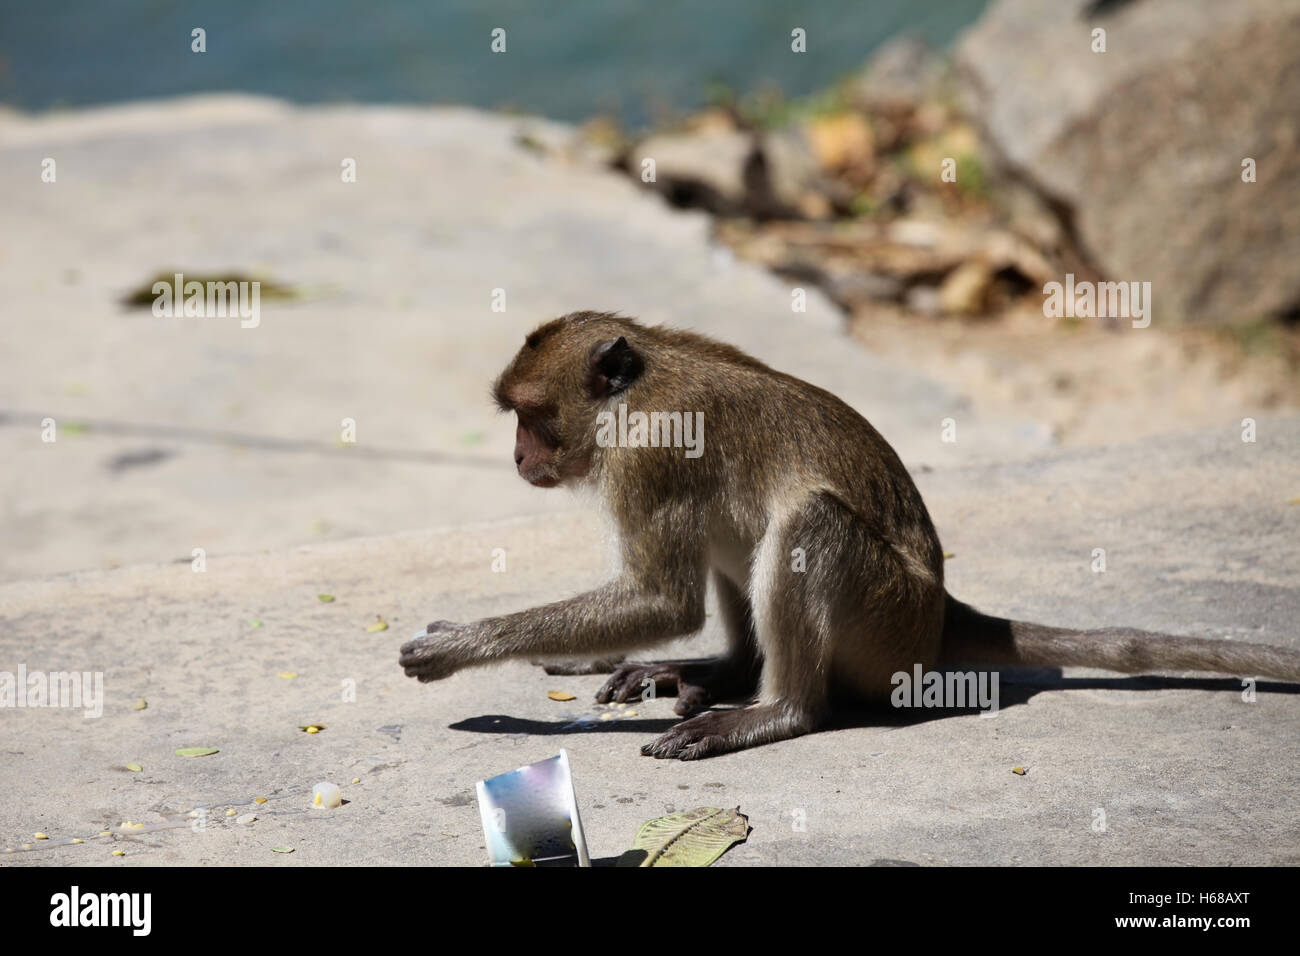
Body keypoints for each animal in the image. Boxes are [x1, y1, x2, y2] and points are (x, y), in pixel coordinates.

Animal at [399, 311, 1300, 759]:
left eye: (532, 416)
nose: (518, 455)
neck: (640, 385)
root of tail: (939, 613)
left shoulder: (648, 453)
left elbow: (662, 598)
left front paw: (461, 644)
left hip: (887, 625)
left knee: (809, 522)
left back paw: (778, 710)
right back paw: (722, 670)